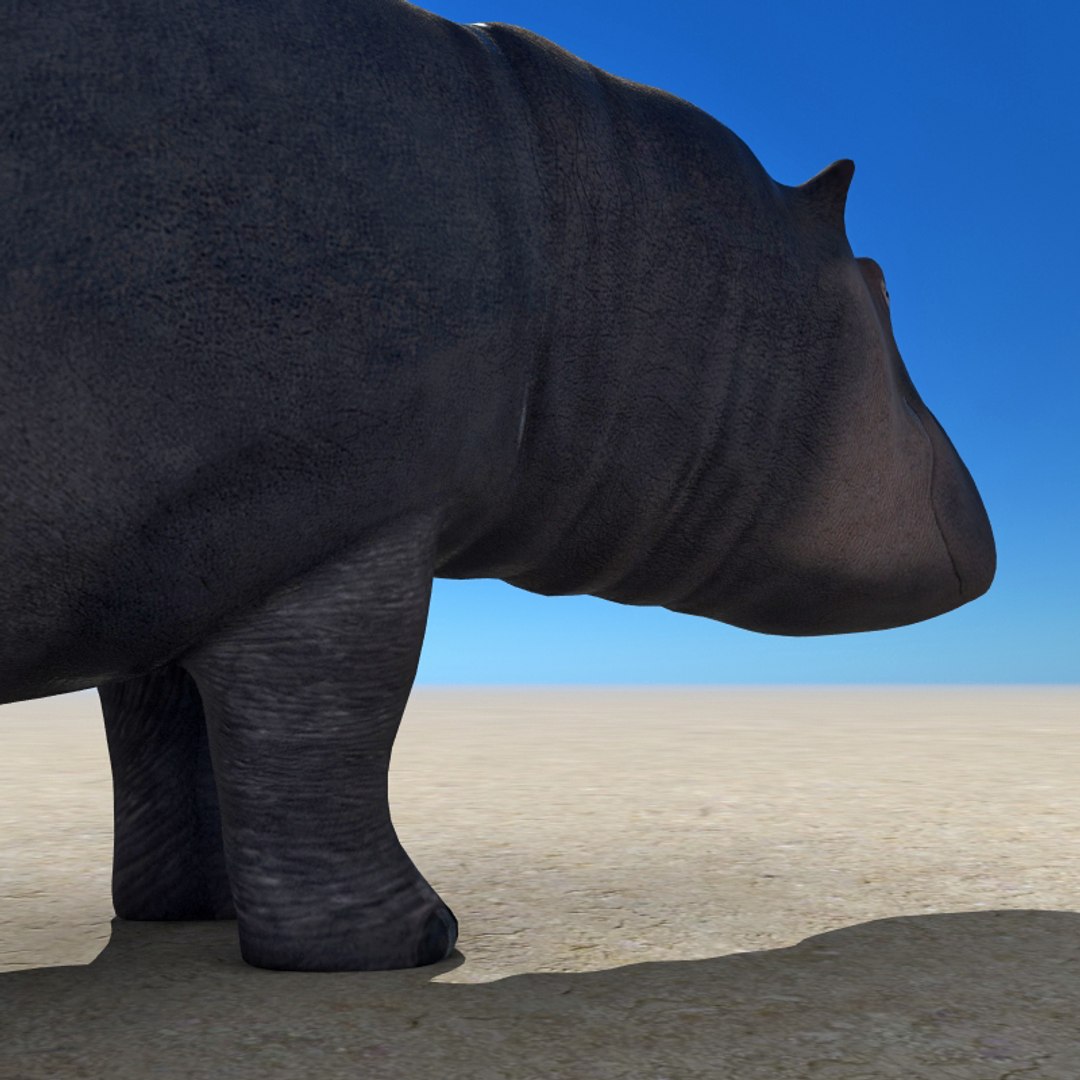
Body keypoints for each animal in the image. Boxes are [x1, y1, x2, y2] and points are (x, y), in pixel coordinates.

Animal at [0, 0, 994, 971]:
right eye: (882, 286)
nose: (986, 536)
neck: (582, 214)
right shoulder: (343, 532)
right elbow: (330, 734)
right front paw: (417, 943)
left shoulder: (179, 578)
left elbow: (170, 746)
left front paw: (191, 917)